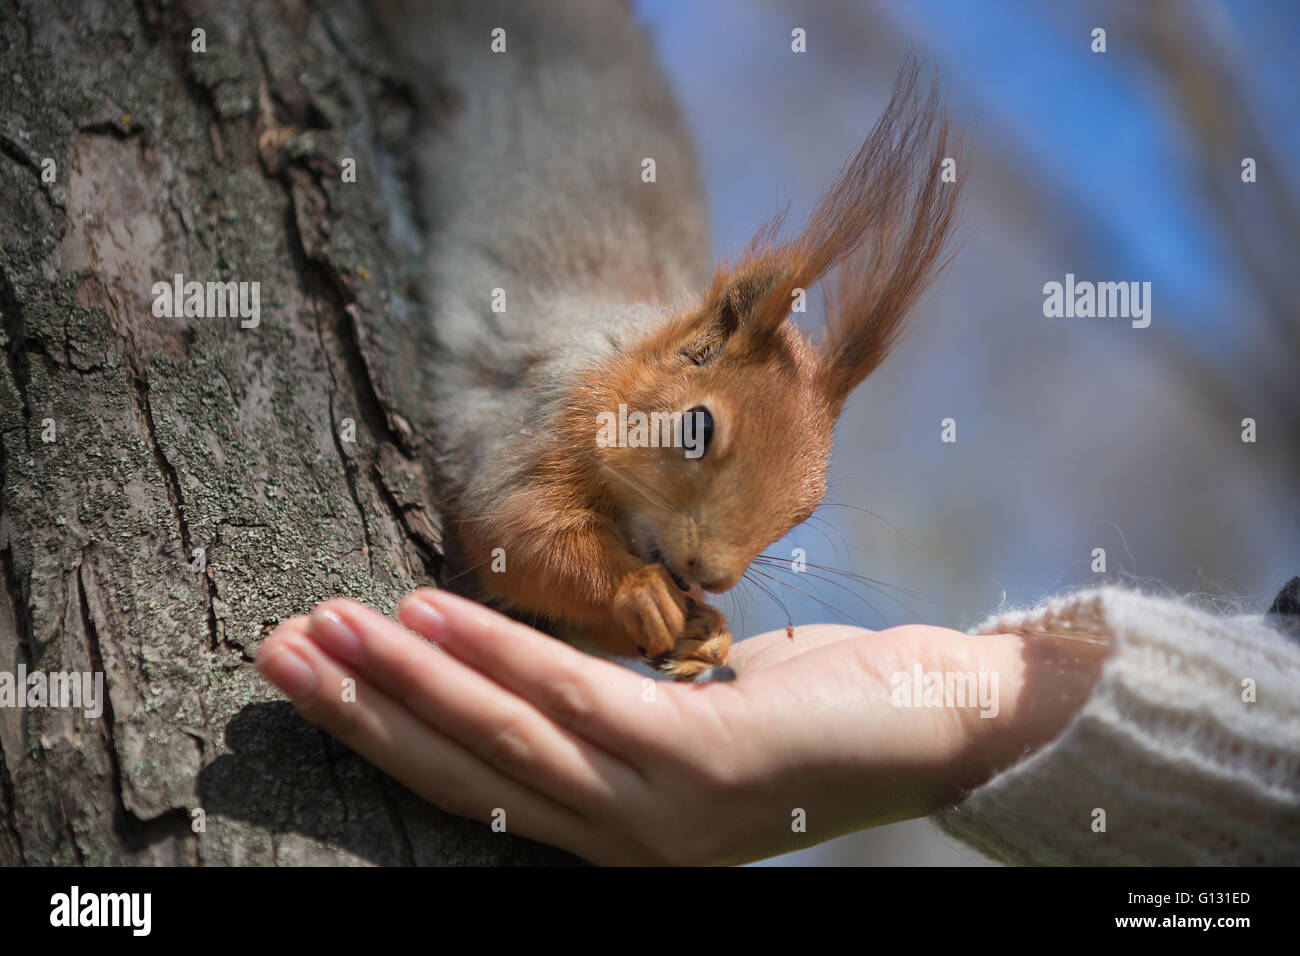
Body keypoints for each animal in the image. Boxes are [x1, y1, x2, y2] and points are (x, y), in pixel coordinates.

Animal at [378, 0, 963, 680]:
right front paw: (640, 590)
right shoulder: (528, 420)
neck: (620, 362)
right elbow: (515, 531)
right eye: (697, 427)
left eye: (806, 511)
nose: (709, 574)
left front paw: (707, 634)